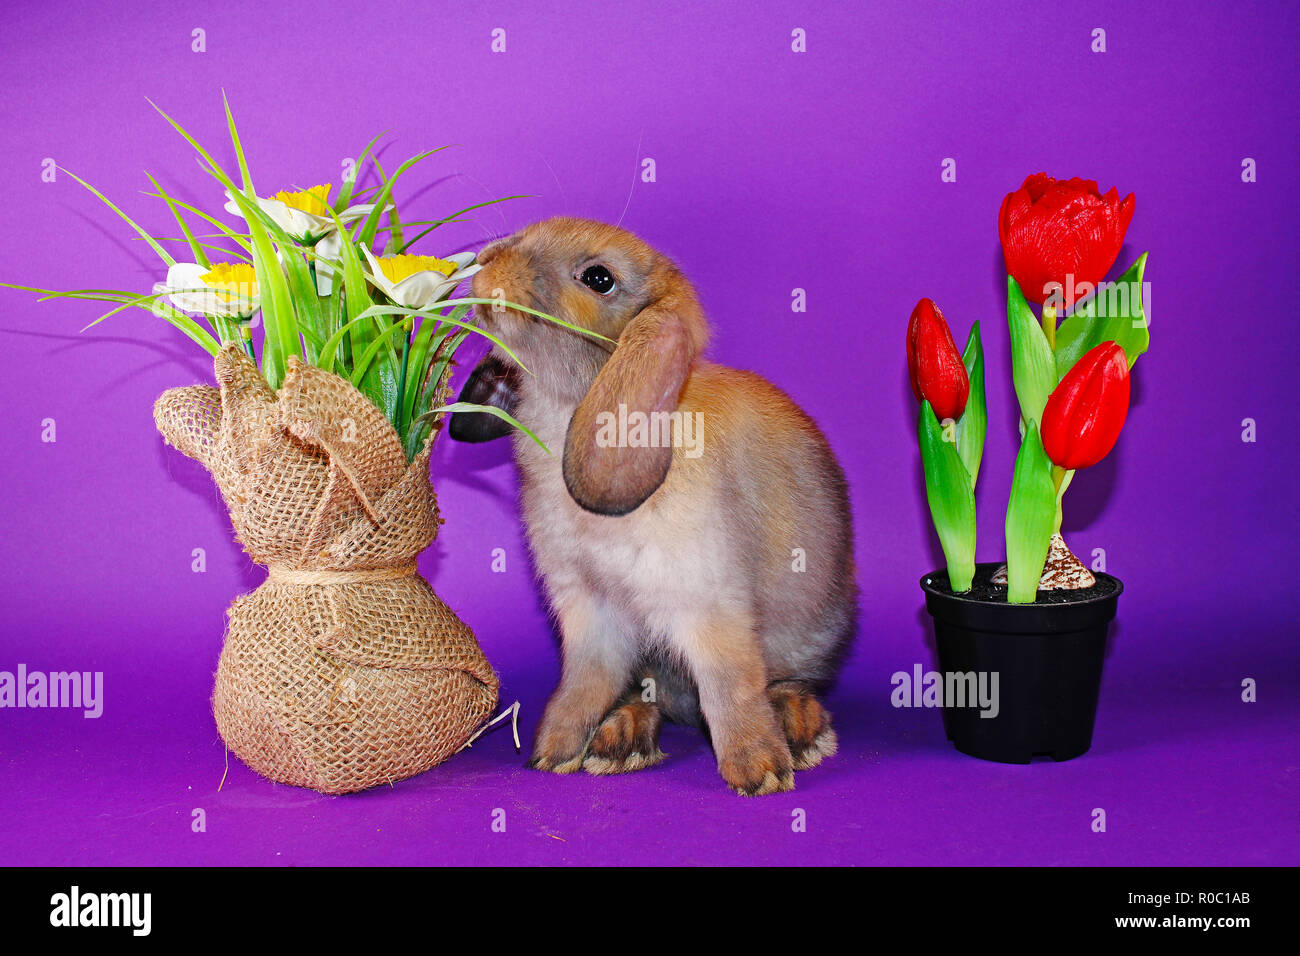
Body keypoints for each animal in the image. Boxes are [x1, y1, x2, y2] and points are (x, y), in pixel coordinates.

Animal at [448, 217, 856, 795]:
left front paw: (759, 771)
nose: (486, 263)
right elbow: (583, 683)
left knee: (785, 683)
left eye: (599, 278)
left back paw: (799, 731)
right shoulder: (588, 610)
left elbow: (730, 687)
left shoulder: (708, 606)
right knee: (645, 695)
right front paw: (555, 751)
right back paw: (620, 741)